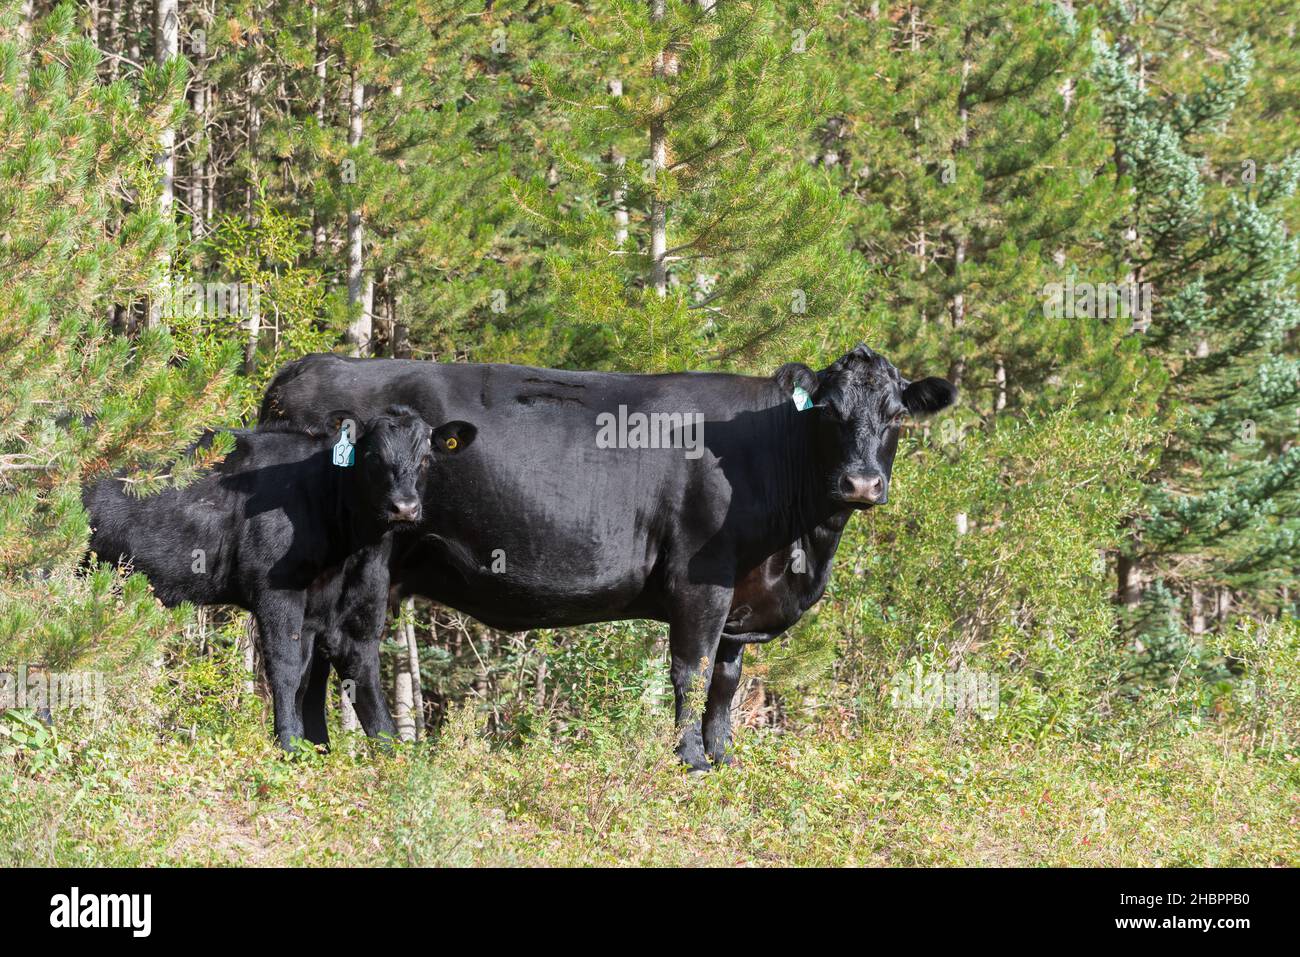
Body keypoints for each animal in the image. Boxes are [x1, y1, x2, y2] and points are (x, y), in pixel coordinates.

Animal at [83, 406, 478, 750]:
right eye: (372, 457)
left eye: (425, 459)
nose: (404, 507)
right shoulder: (278, 591)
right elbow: (287, 669)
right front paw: (288, 746)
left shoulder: (356, 612)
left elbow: (359, 685)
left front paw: (390, 760)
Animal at [259, 344, 956, 769]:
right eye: (831, 413)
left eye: (896, 414)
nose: (861, 483)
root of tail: (308, 367)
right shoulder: (700, 582)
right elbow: (690, 670)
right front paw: (690, 761)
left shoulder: (741, 600)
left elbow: (726, 681)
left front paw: (725, 757)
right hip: (373, 554)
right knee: (352, 647)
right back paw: (389, 751)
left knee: (314, 645)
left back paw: (319, 750)